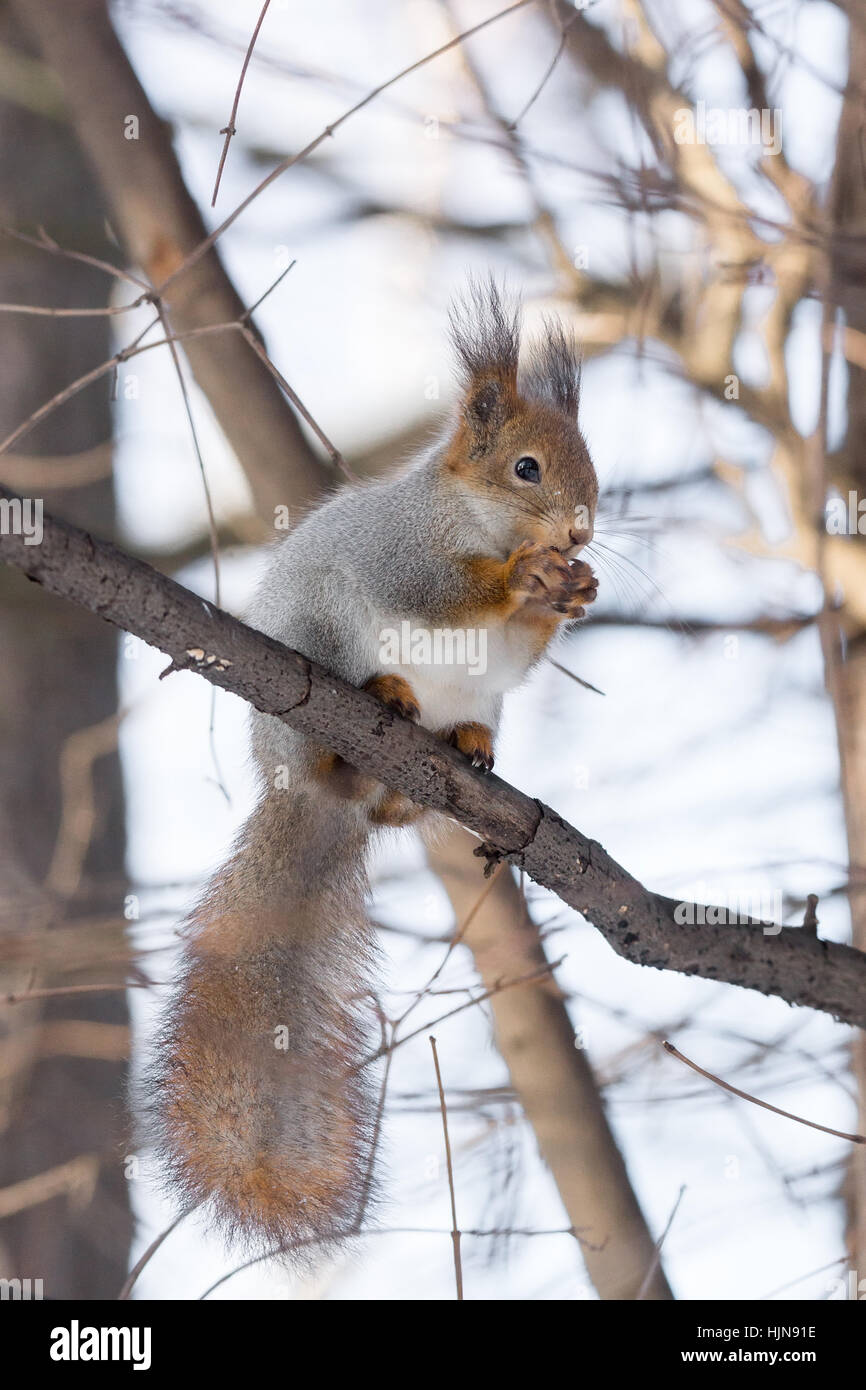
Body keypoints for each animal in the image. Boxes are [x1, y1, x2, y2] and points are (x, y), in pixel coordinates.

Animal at [145, 280, 599, 1254]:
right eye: (528, 469)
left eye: (591, 464)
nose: (583, 531)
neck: (469, 515)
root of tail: (312, 788)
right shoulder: (402, 554)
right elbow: (446, 591)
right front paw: (526, 577)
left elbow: (520, 650)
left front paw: (570, 593)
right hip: (322, 643)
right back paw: (384, 693)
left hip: (469, 716)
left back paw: (461, 748)